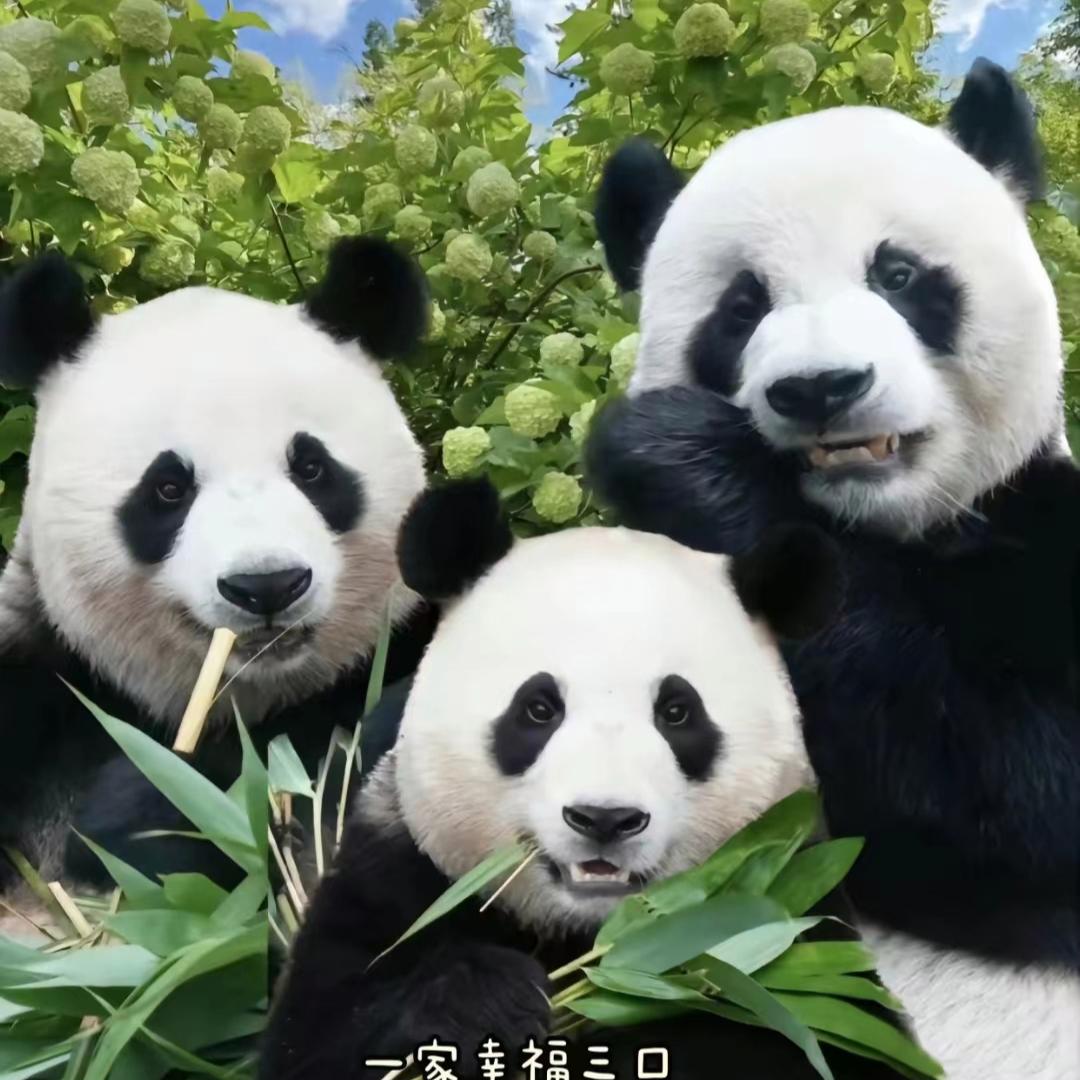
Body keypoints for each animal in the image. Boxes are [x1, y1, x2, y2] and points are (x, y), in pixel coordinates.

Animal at [260, 478, 922, 1080]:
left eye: (677, 712)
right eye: (538, 709)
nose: (605, 818)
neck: (589, 939)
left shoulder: (785, 911)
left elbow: (826, 1037)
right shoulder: (397, 865)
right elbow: (321, 1032)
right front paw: (488, 1003)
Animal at [584, 58, 1080, 1078]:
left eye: (898, 274)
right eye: (743, 307)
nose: (821, 388)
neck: (884, 531)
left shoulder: (1044, 526)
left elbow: (1017, 786)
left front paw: (683, 458)